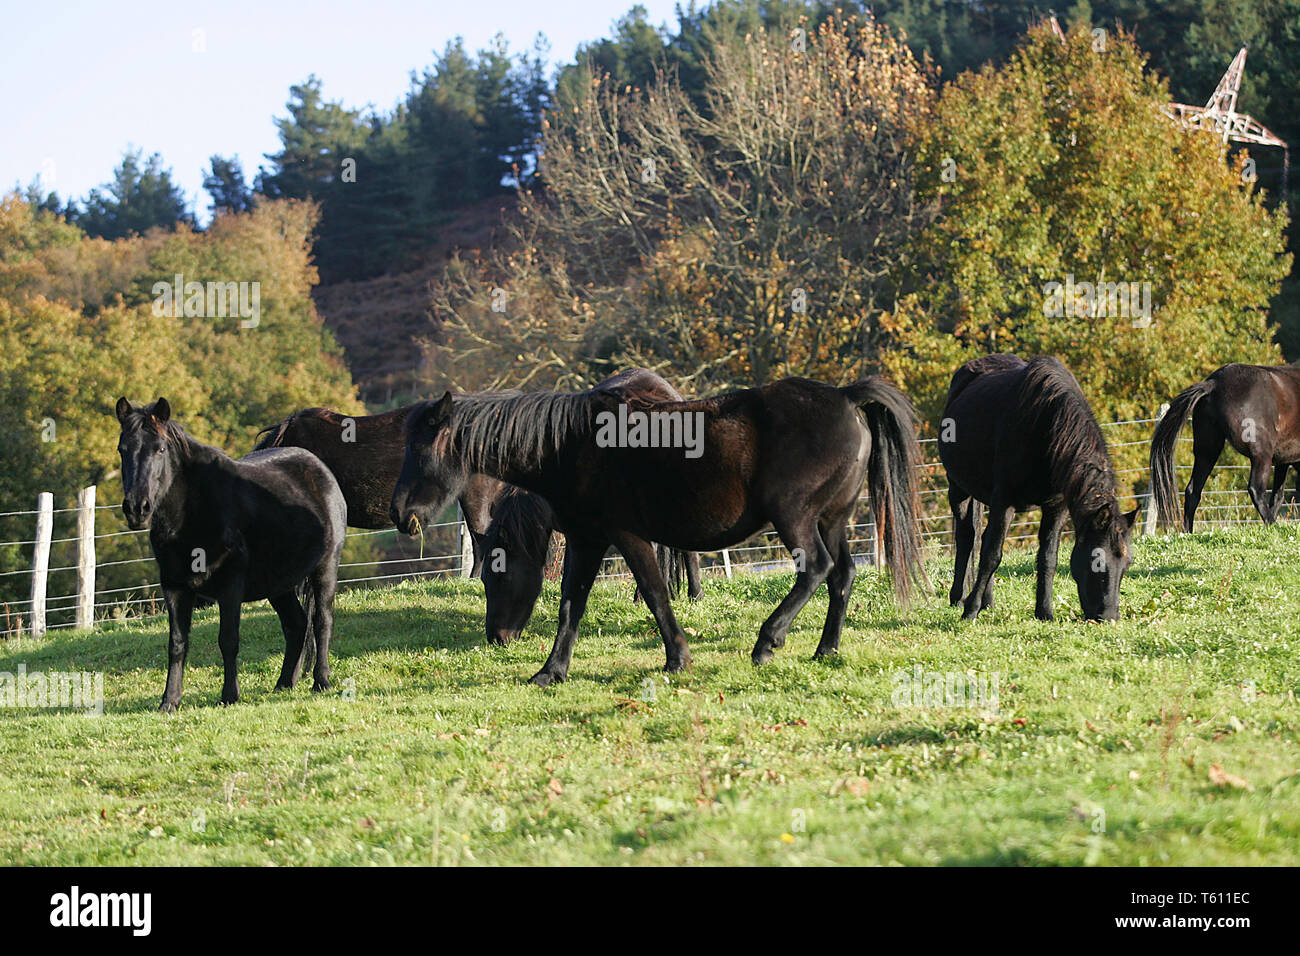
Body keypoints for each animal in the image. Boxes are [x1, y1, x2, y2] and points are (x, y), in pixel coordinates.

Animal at [115, 397, 346, 711]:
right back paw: (284, 684)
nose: (137, 508)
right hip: (279, 584)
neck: (194, 513)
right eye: (122, 449)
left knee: (322, 621)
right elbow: (177, 644)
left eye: (160, 449)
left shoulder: (230, 587)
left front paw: (229, 696)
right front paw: (169, 702)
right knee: (296, 624)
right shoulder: (174, 588)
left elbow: (228, 640)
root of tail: (320, 470)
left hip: (325, 568)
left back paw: (321, 681)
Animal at [390, 371, 926, 684]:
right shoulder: (587, 539)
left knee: (815, 569)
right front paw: (550, 671)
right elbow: (570, 604)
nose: (400, 513)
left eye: (420, 450)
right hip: (832, 518)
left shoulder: (626, 535)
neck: (572, 444)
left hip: (795, 518)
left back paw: (767, 642)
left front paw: (677, 658)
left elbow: (653, 592)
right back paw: (825, 650)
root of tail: (845, 397)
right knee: (842, 576)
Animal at [938, 355, 1137, 622]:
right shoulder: (1005, 502)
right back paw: (959, 597)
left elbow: (1048, 558)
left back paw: (987, 602)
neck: (1045, 427)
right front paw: (970, 610)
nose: (1108, 617)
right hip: (958, 488)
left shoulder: (1057, 507)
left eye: (1126, 565)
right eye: (1097, 562)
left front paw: (1044, 611)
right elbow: (992, 556)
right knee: (967, 538)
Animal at [1150, 363, 1300, 532]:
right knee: (1256, 489)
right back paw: (1273, 525)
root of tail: (1214, 384)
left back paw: (1188, 532)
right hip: (1261, 454)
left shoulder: (1284, 460)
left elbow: (1277, 496)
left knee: (1193, 490)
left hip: (1207, 451)